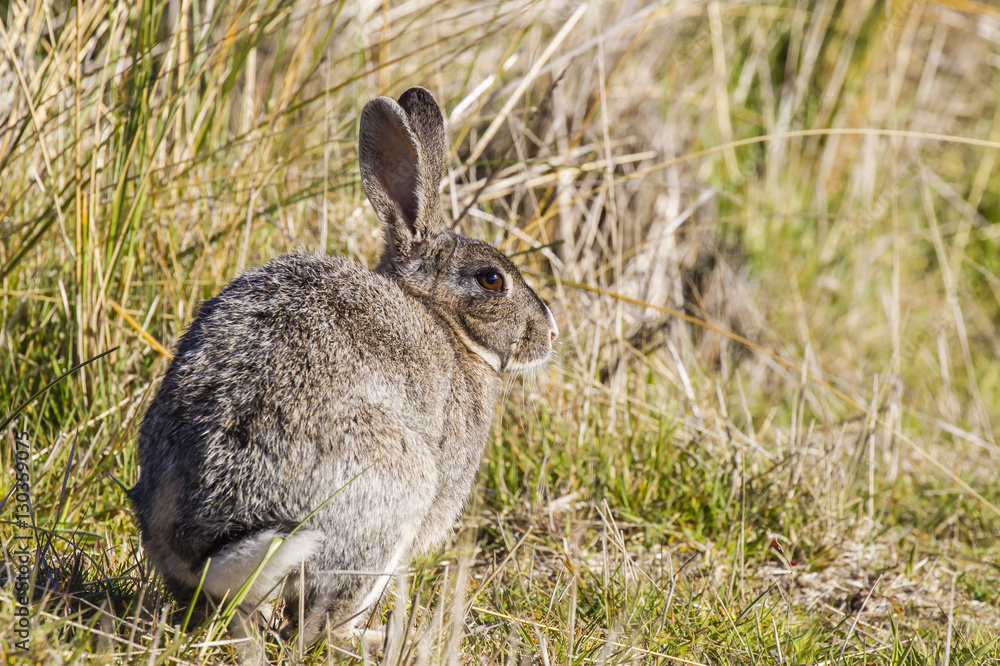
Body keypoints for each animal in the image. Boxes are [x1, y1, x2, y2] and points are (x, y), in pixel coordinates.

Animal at [127, 86, 558, 649]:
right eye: (491, 280)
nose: (550, 334)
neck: (439, 317)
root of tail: (201, 550)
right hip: (392, 490)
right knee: (320, 625)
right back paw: (379, 641)